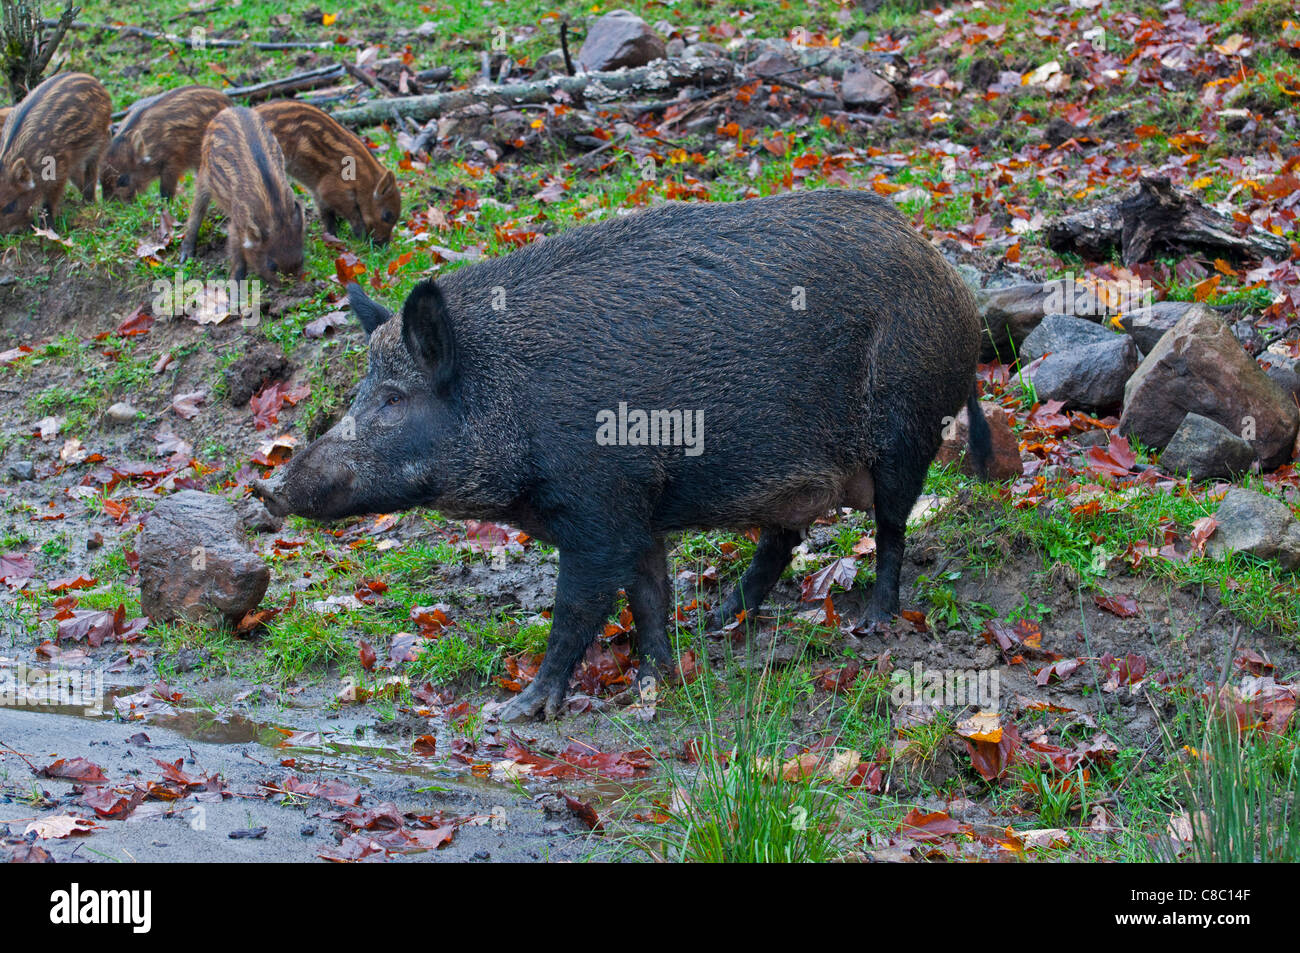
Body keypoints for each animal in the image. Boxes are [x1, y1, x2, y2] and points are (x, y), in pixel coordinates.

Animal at [0, 72, 111, 234]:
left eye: (10, 206)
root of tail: (94, 81)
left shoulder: (59, 171)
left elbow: (51, 201)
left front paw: (50, 225)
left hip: (99, 141)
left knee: (92, 172)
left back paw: (89, 202)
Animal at [179, 106, 305, 282]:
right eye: (272, 266)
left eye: (301, 260)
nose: (291, 284)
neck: (276, 215)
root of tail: (229, 110)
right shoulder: (237, 223)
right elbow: (237, 252)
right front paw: (236, 282)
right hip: (204, 175)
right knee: (196, 211)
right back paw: (186, 255)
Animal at [253, 189, 991, 721]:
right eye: (360, 390)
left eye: (395, 397)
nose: (267, 489)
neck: (509, 395)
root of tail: (946, 272)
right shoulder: (640, 513)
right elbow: (648, 594)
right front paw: (656, 678)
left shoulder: (600, 509)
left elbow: (575, 612)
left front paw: (513, 712)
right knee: (783, 540)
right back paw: (720, 620)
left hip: (905, 426)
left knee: (891, 528)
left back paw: (873, 620)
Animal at [254, 99, 400, 244]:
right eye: (387, 215)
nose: (384, 245)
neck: (363, 178)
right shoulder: (332, 189)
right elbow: (352, 214)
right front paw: (360, 237)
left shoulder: (318, 192)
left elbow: (327, 215)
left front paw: (333, 236)